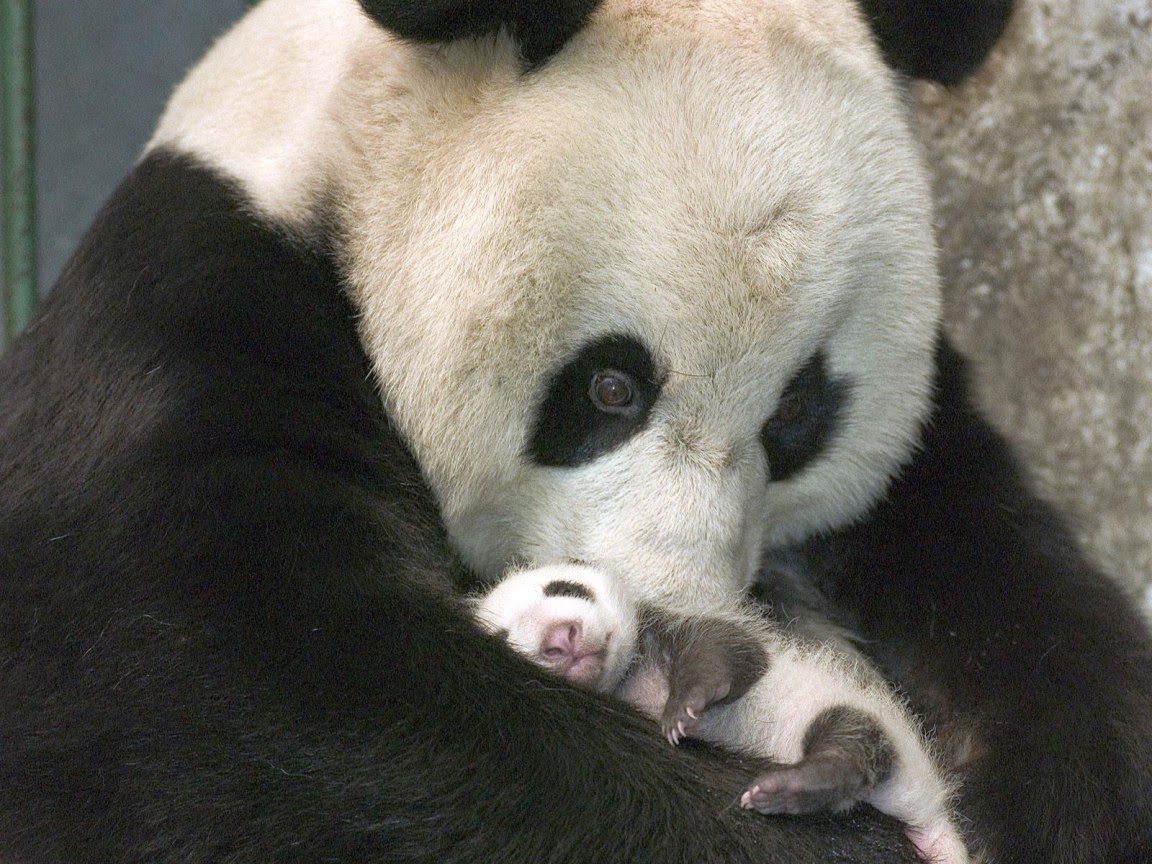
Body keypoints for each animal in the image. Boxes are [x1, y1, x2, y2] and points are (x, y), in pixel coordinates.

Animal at [1, 1, 1150, 863]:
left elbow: (1029, 619)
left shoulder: (928, 468)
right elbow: (250, 704)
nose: (679, 605)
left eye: (796, 411)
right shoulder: (186, 336)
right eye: (610, 388)